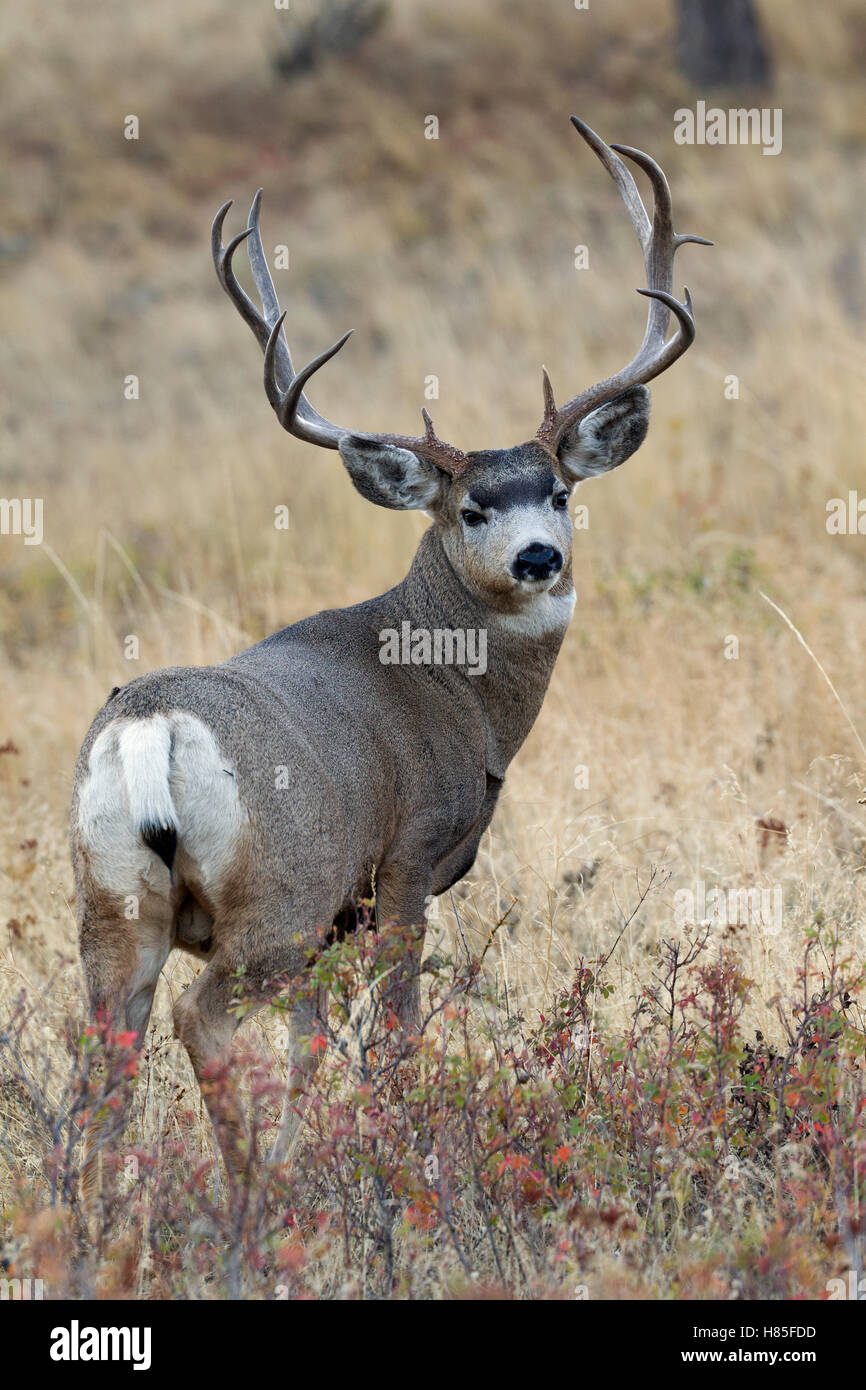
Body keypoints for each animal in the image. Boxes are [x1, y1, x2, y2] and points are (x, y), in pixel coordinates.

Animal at [71, 117, 709, 1200]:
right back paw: (247, 1201)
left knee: (102, 1059)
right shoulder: (403, 864)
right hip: (276, 893)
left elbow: (312, 1046)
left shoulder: (338, 919)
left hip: (110, 902)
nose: (538, 557)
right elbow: (397, 1035)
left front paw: (316, 1157)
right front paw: (407, 1158)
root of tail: (149, 730)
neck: (453, 685)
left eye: (560, 492)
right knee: (201, 1017)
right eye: (471, 507)